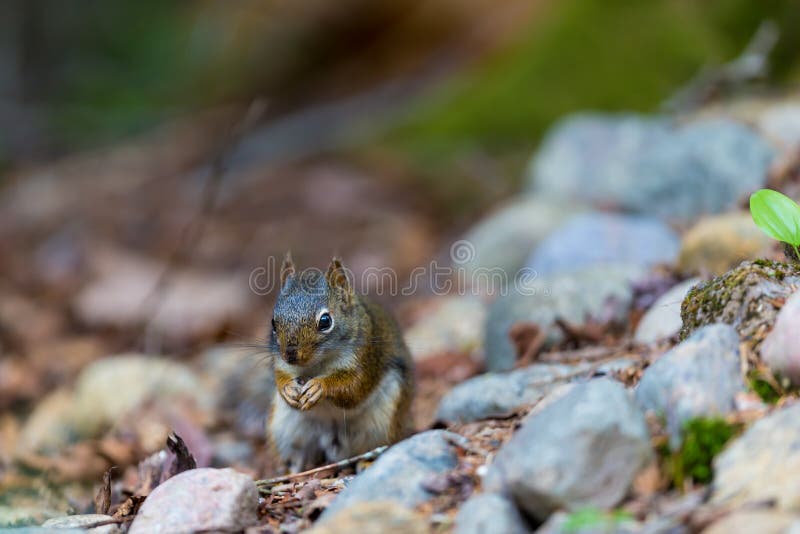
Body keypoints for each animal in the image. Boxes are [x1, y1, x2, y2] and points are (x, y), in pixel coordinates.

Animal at [267, 253, 415, 472]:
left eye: (325, 321)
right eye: (273, 322)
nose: (291, 355)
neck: (317, 364)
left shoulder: (365, 357)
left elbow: (355, 388)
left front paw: (319, 386)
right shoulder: (280, 362)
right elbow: (281, 376)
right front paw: (287, 389)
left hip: (383, 421)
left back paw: (368, 461)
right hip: (285, 428)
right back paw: (292, 468)